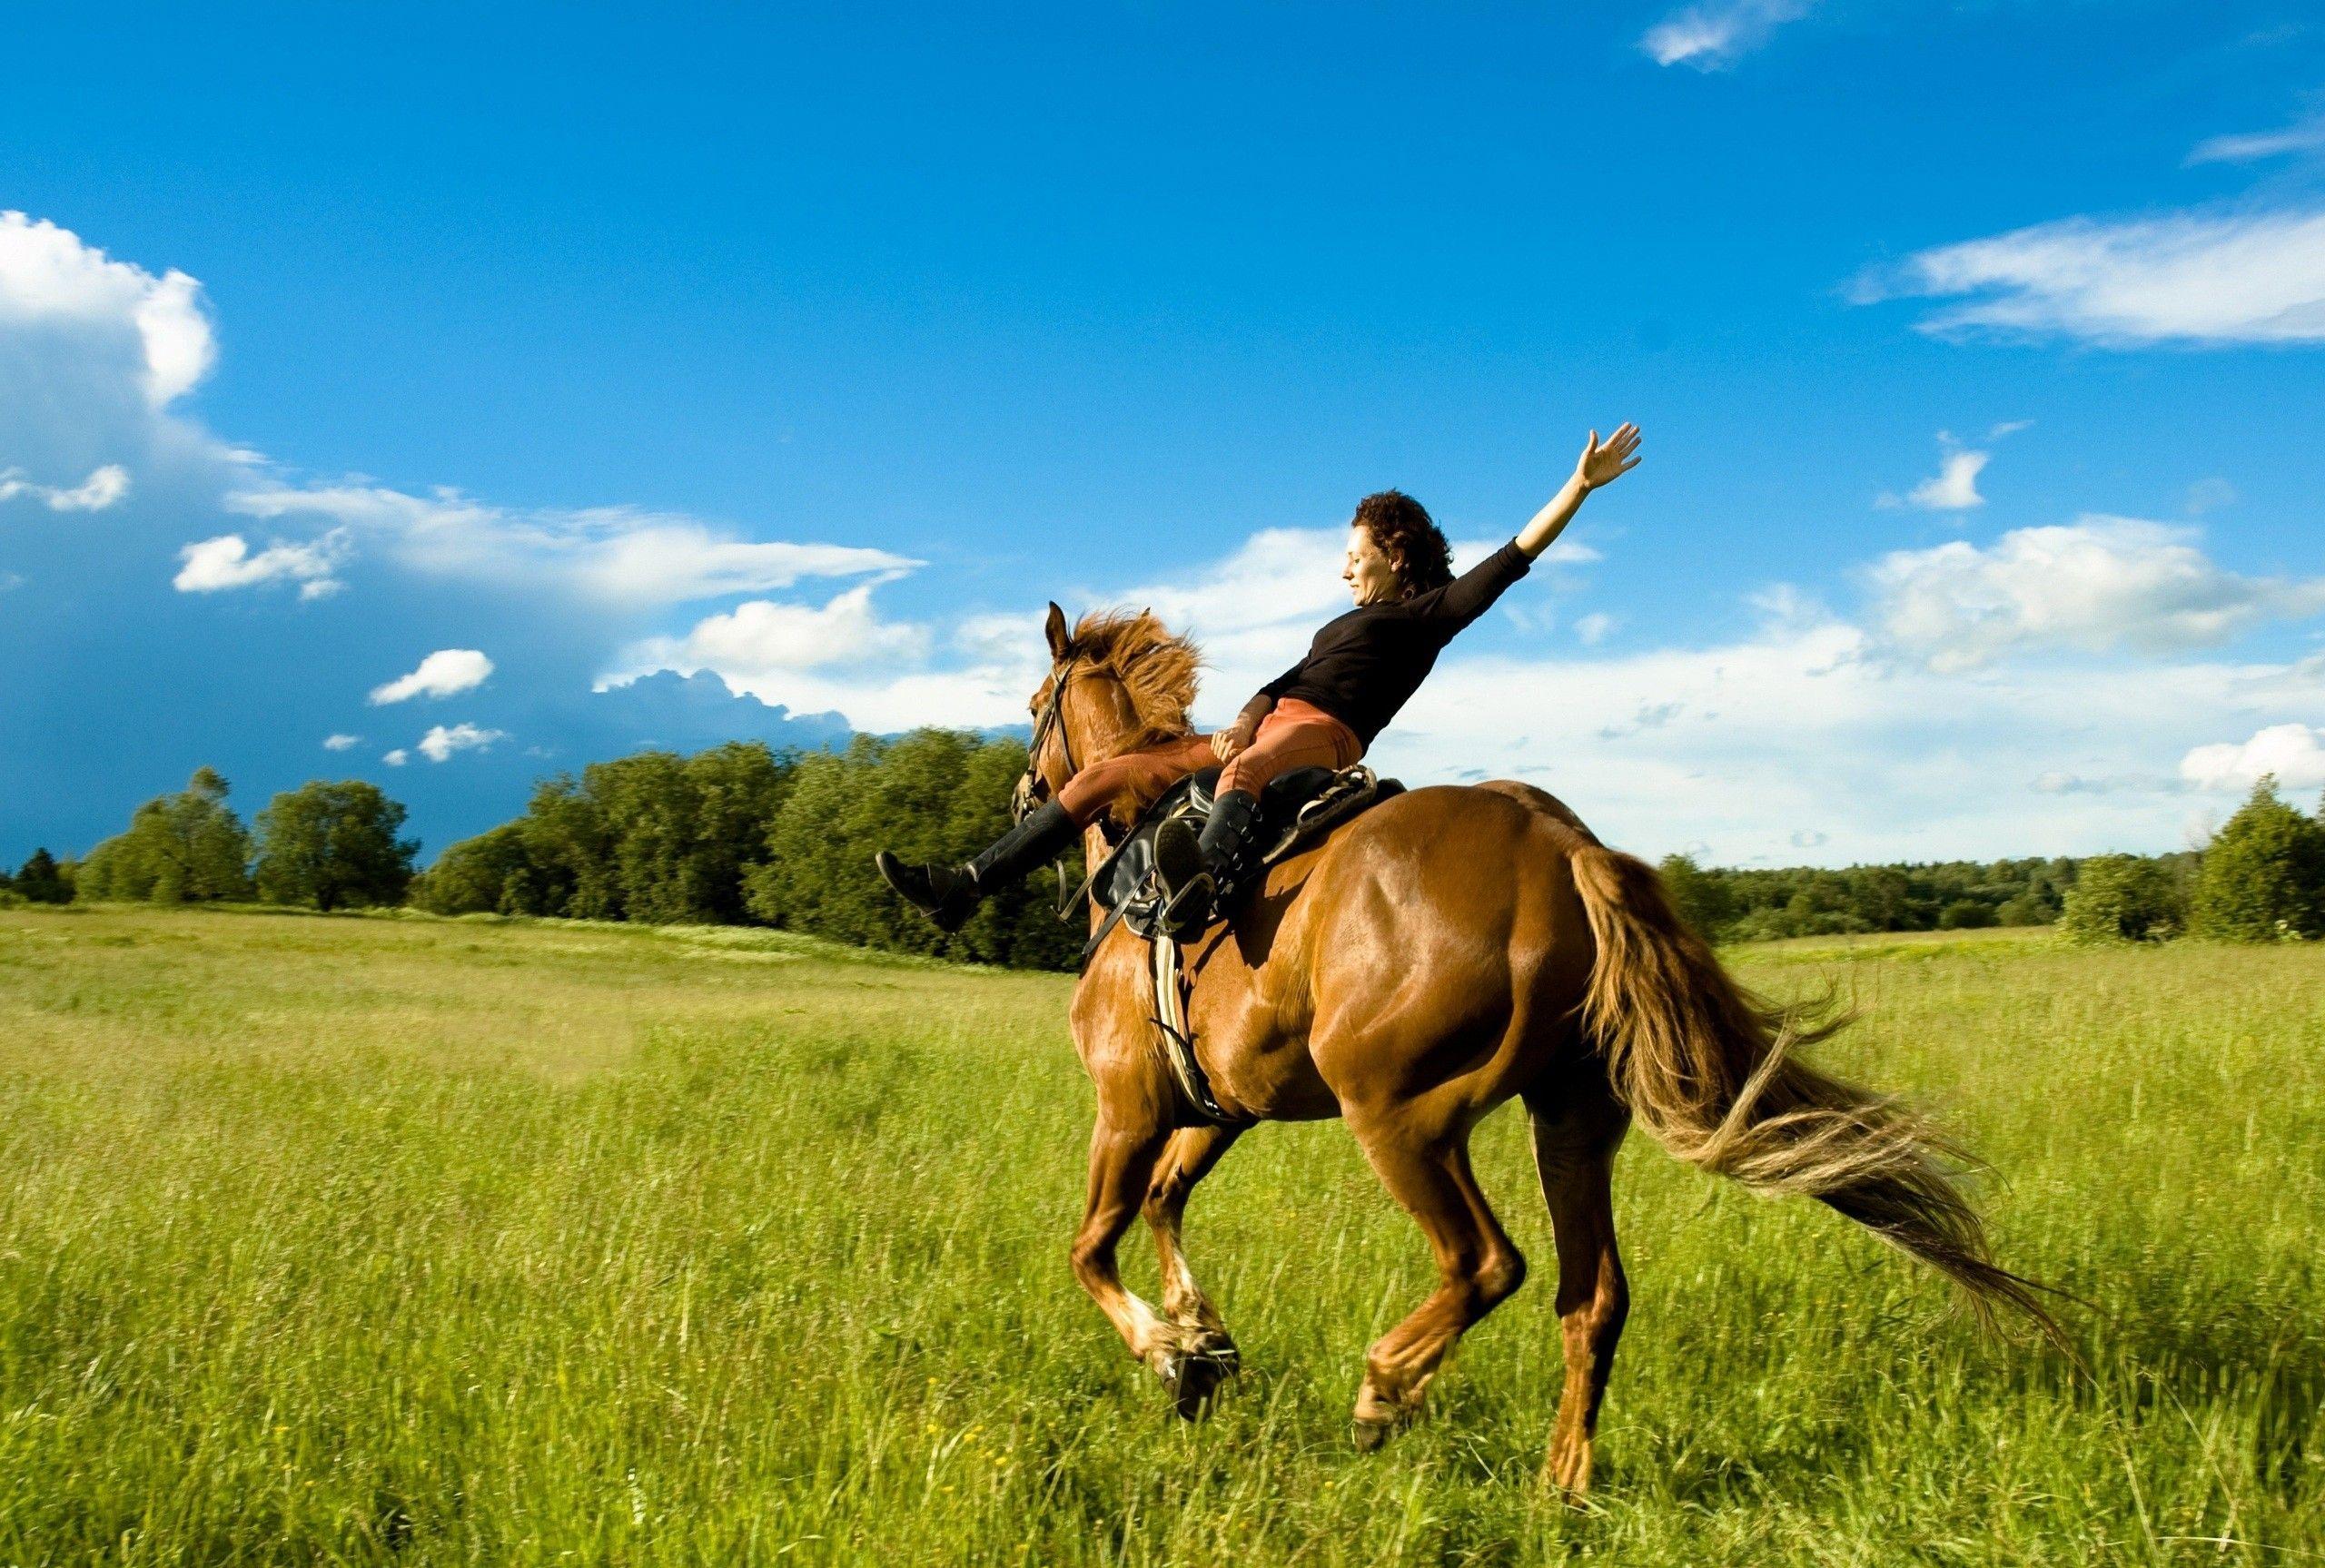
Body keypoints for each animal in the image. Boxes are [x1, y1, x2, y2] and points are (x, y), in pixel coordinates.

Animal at [1017, 602, 2055, 1493]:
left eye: (1032, 710)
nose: (1027, 790)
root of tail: (1563, 847)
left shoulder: (1129, 1104)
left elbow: (1091, 1246)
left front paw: (1169, 1349)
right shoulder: (1218, 1107)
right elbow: (1163, 1203)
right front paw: (1203, 1341)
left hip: (1402, 1119)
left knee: (1488, 1262)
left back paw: (1384, 1388)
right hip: (1571, 1122)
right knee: (1592, 1297)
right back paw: (1563, 1480)